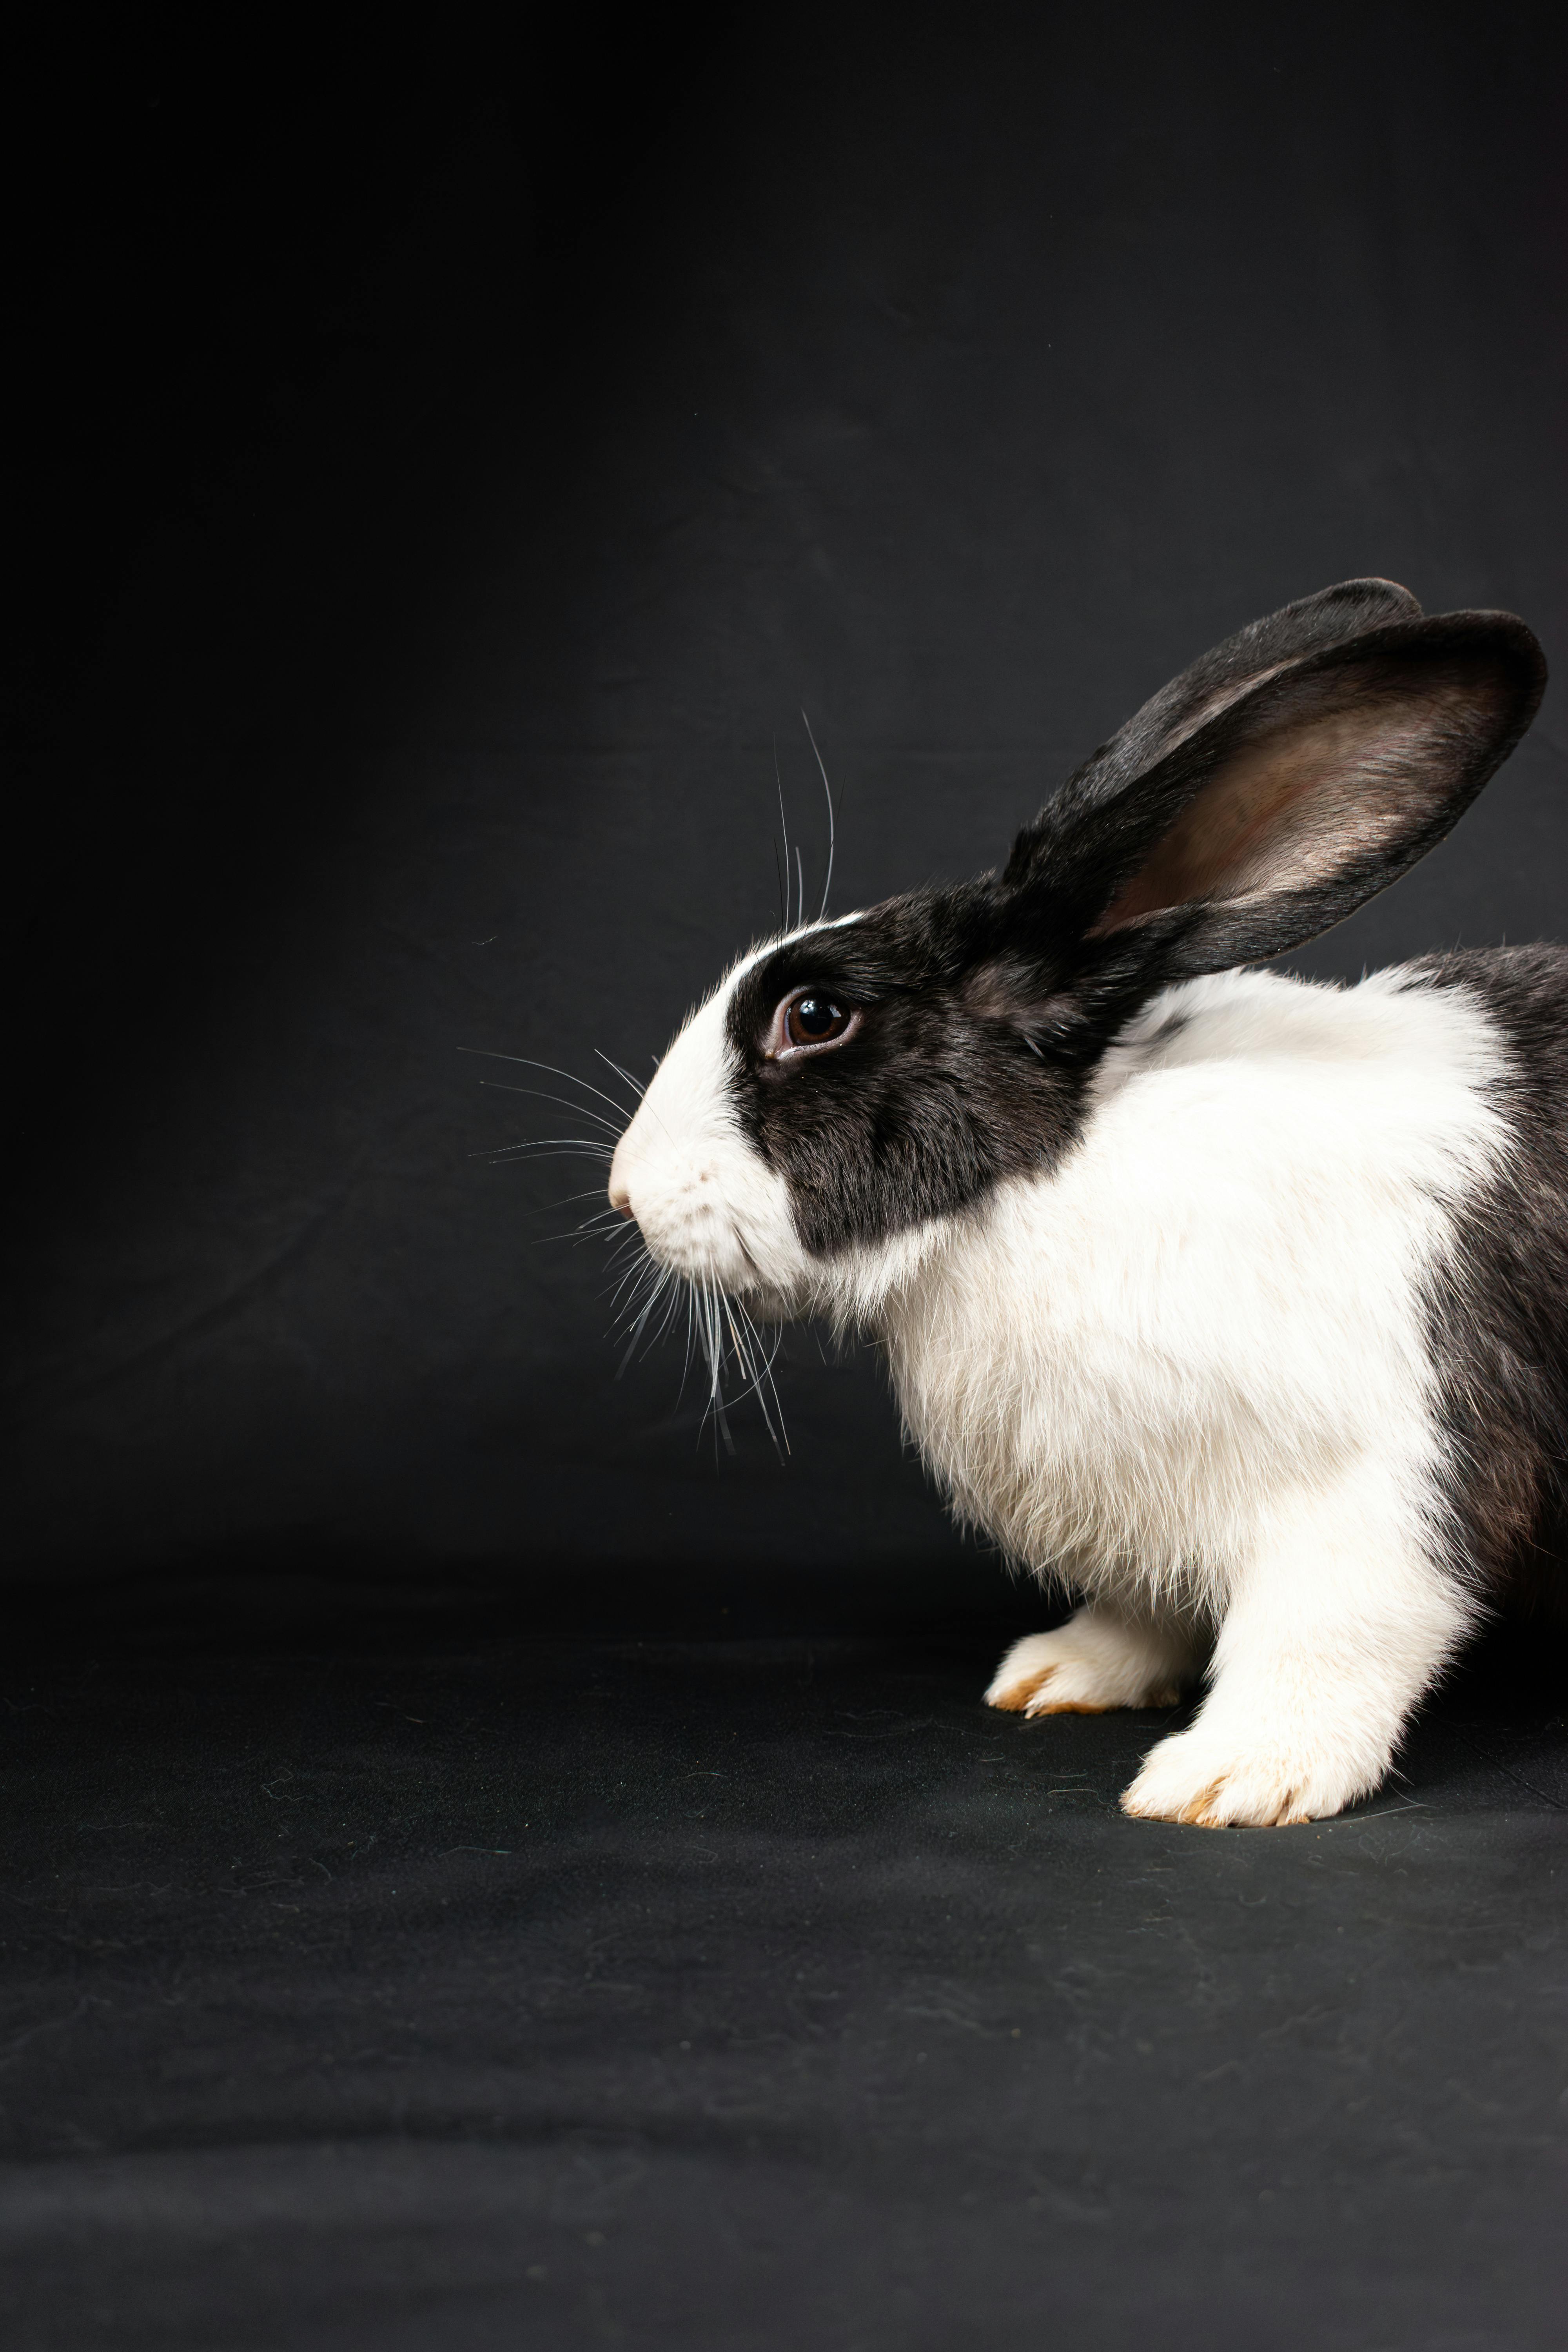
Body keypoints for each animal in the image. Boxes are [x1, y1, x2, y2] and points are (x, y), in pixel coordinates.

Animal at [606, 578, 1554, 1825]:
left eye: (814, 1017)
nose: (623, 1193)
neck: (1040, 1183)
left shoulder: (1381, 1492)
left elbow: (1327, 1638)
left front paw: (1232, 1777)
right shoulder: (1156, 1515)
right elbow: (1147, 1609)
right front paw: (1060, 1674)